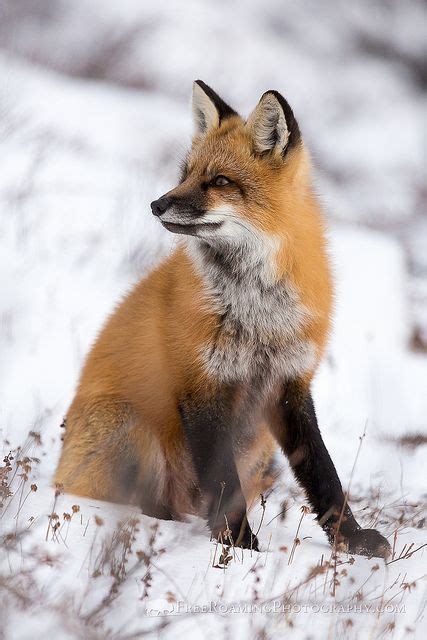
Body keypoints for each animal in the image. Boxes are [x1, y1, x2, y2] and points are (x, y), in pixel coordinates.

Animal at [55, 80, 391, 558]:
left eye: (219, 182)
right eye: (184, 174)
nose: (156, 204)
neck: (258, 311)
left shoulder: (291, 382)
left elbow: (324, 474)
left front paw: (353, 540)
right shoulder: (203, 383)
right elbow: (221, 479)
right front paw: (238, 545)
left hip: (263, 455)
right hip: (134, 430)